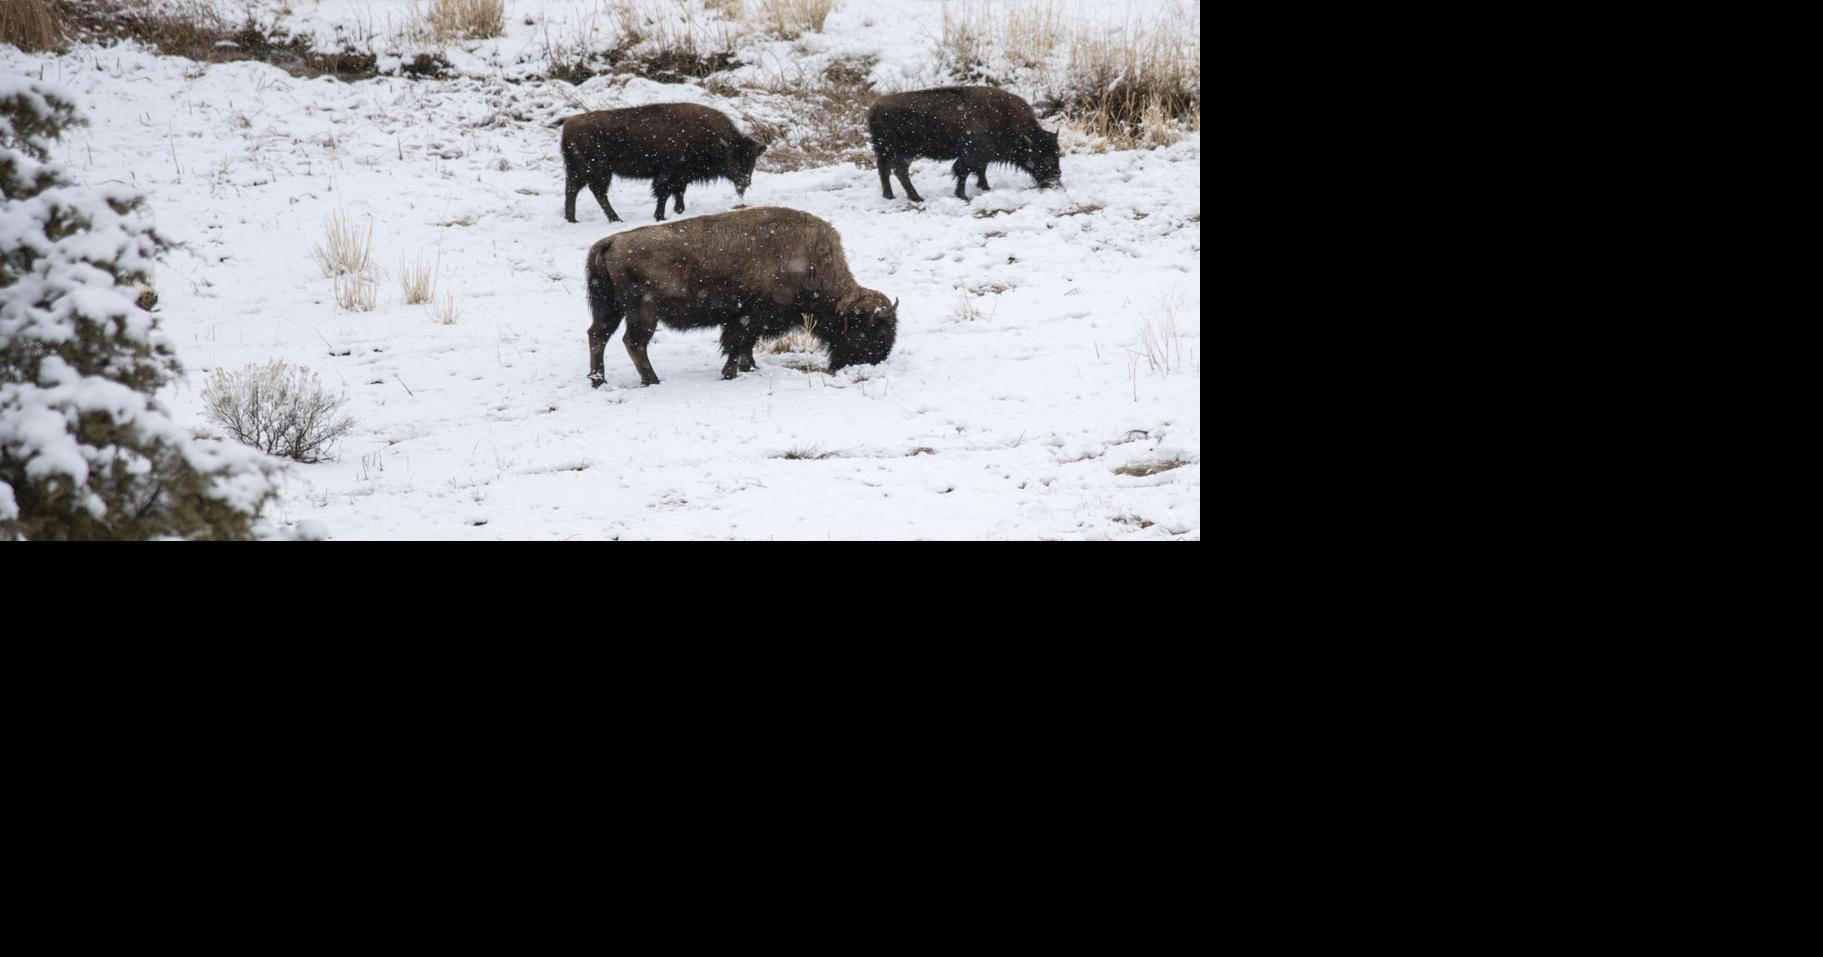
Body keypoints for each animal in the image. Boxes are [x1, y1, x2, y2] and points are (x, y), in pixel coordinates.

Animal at [558, 103, 765, 223]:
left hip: (580, 171)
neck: (711, 140)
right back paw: (616, 219)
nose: (744, 180)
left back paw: (572, 219)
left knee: (572, 190)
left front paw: (678, 211)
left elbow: (679, 193)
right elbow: (664, 193)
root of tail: (568, 124)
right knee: (597, 192)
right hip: (598, 171)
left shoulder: (682, 176)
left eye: (753, 159)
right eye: (731, 158)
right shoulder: (668, 174)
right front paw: (660, 216)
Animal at [584, 207, 897, 386]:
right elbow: (737, 344)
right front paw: (731, 373)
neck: (809, 261)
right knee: (634, 342)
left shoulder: (749, 320)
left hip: (610, 308)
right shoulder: (749, 316)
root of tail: (610, 242)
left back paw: (598, 381)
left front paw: (749, 368)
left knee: (598, 335)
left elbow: (746, 345)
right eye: (876, 332)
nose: (875, 362)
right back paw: (652, 380)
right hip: (643, 312)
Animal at [867, 86, 1062, 202]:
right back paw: (916, 197)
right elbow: (963, 172)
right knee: (899, 170)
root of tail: (875, 108)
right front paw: (963, 195)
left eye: (1057, 152)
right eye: (1037, 154)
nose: (1055, 176)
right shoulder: (970, 155)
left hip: (887, 151)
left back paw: (890, 196)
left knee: (885, 169)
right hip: (903, 151)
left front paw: (984, 187)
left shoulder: (981, 157)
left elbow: (979, 171)